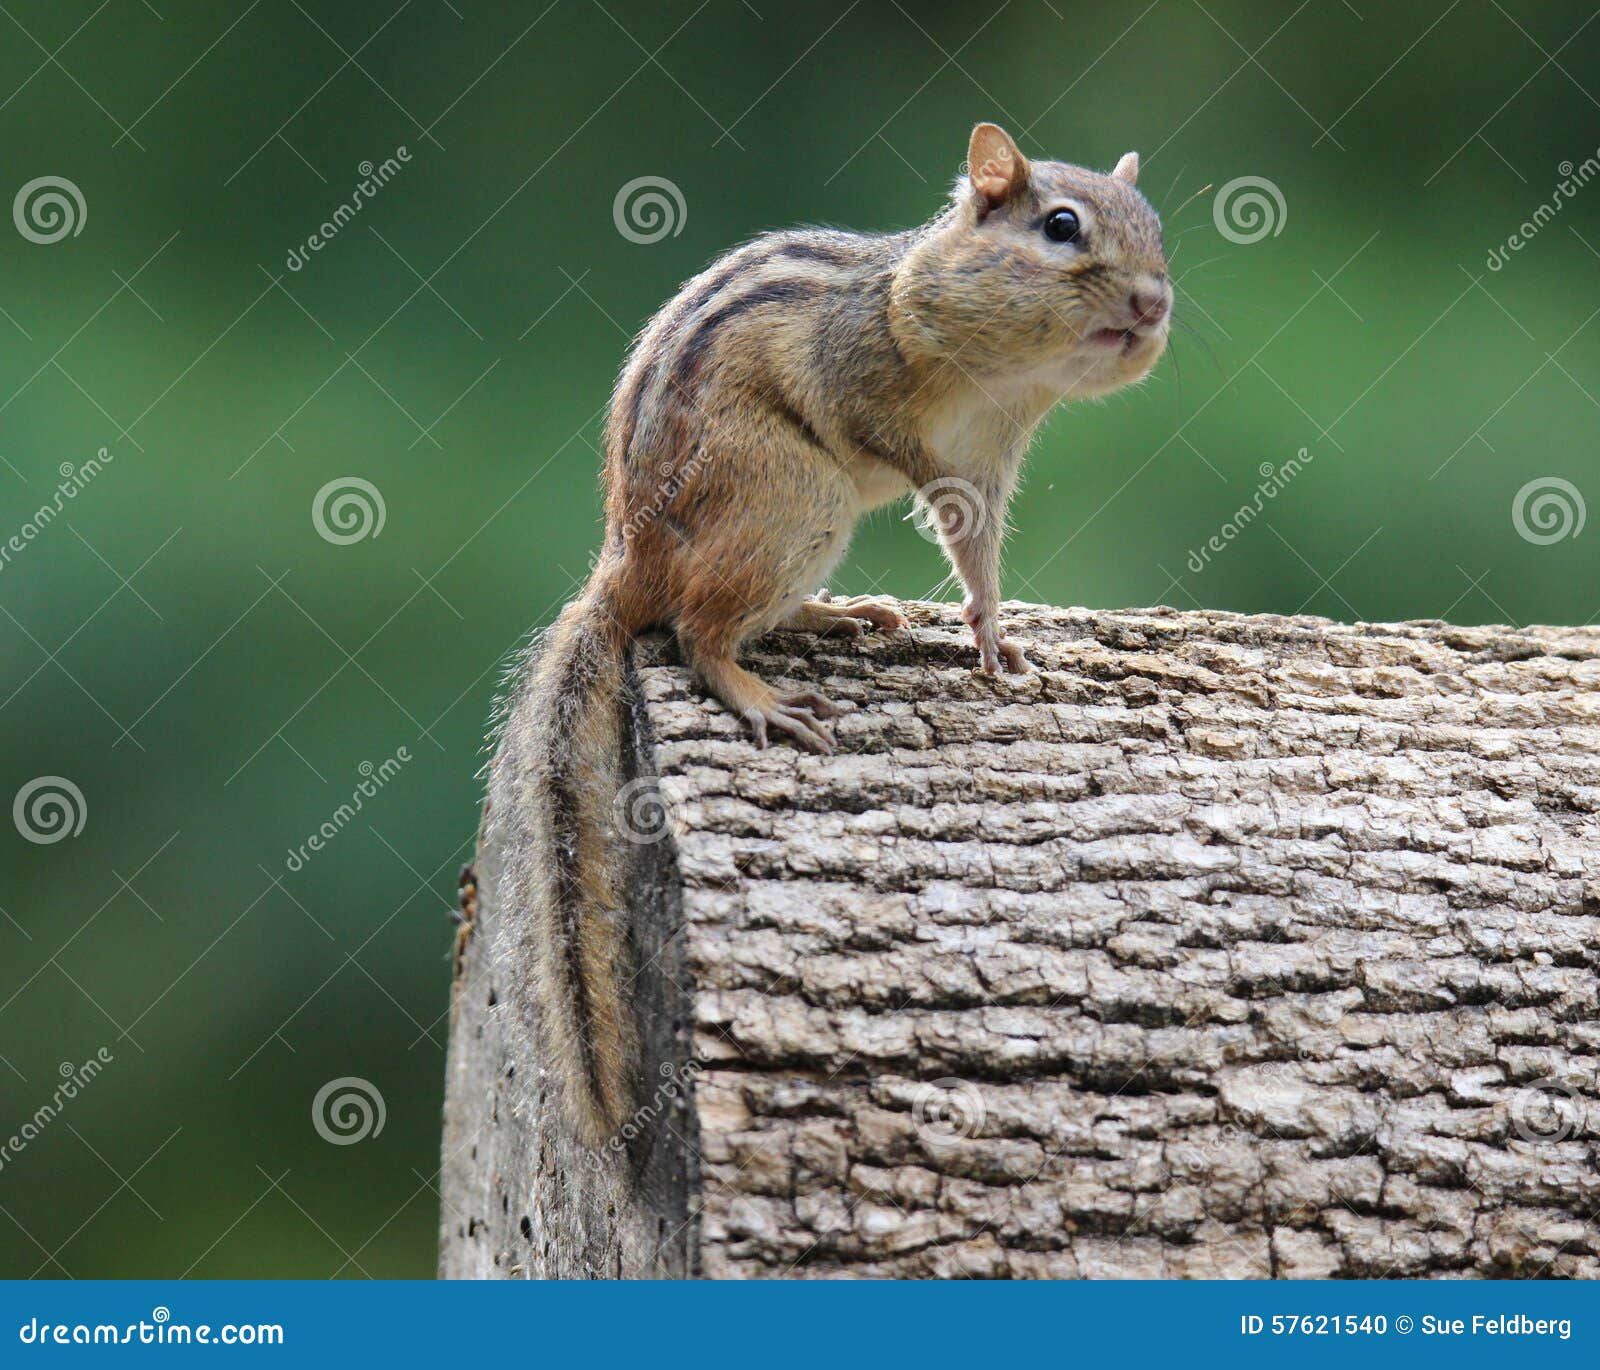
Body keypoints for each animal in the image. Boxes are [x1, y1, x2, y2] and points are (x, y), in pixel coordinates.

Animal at [507, 123, 1171, 1142]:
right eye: (1061, 227)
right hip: (796, 494)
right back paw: (760, 696)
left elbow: (976, 544)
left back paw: (841, 611)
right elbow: (899, 452)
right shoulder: (859, 371)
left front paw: (994, 635)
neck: (1002, 373)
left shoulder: (994, 453)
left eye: (1158, 230)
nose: (1153, 304)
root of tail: (625, 562)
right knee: (698, 631)